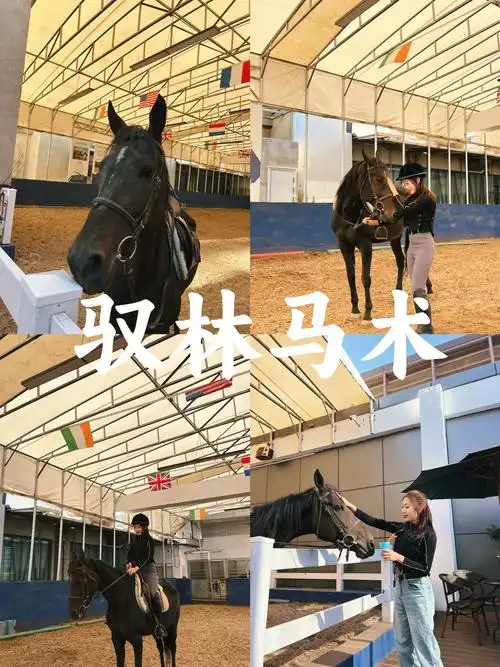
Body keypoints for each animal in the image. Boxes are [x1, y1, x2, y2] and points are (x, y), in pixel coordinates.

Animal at [332, 149, 433, 323]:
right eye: (379, 179)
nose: (393, 213)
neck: (350, 216)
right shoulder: (344, 245)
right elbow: (351, 276)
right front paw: (354, 309)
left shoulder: (365, 245)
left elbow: (365, 278)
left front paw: (367, 314)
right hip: (395, 239)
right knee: (401, 261)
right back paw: (398, 291)